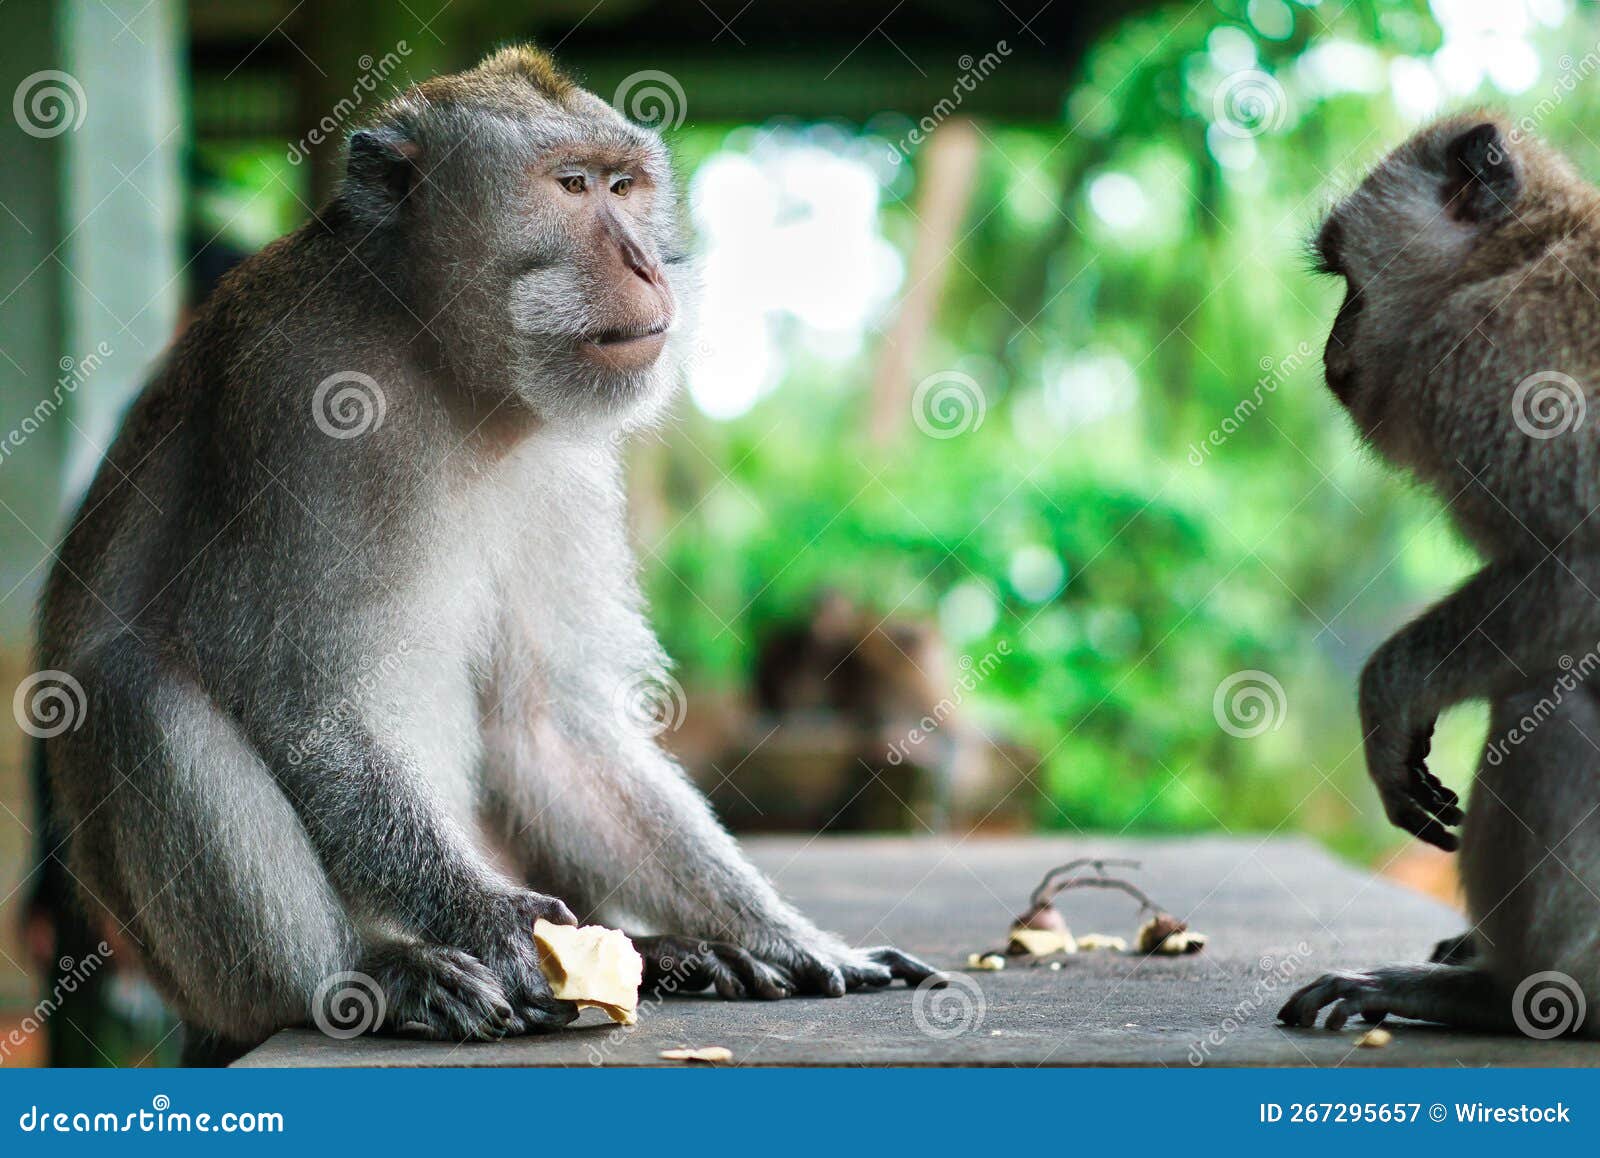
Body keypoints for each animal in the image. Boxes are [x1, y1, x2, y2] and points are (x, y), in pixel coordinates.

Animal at [36, 46, 941, 1062]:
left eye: (626, 187)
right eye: (573, 186)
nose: (646, 263)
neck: (445, 365)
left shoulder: (568, 457)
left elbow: (545, 725)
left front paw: (779, 932)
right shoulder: (297, 394)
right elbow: (293, 694)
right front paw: (491, 920)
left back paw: (661, 951)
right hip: (201, 975)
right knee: (138, 695)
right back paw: (367, 977)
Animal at [1280, 112, 1600, 1035]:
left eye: (1347, 275)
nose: (1330, 347)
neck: (1520, 254)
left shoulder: (1504, 360)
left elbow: (1580, 559)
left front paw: (1391, 691)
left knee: (1548, 701)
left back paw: (1518, 995)